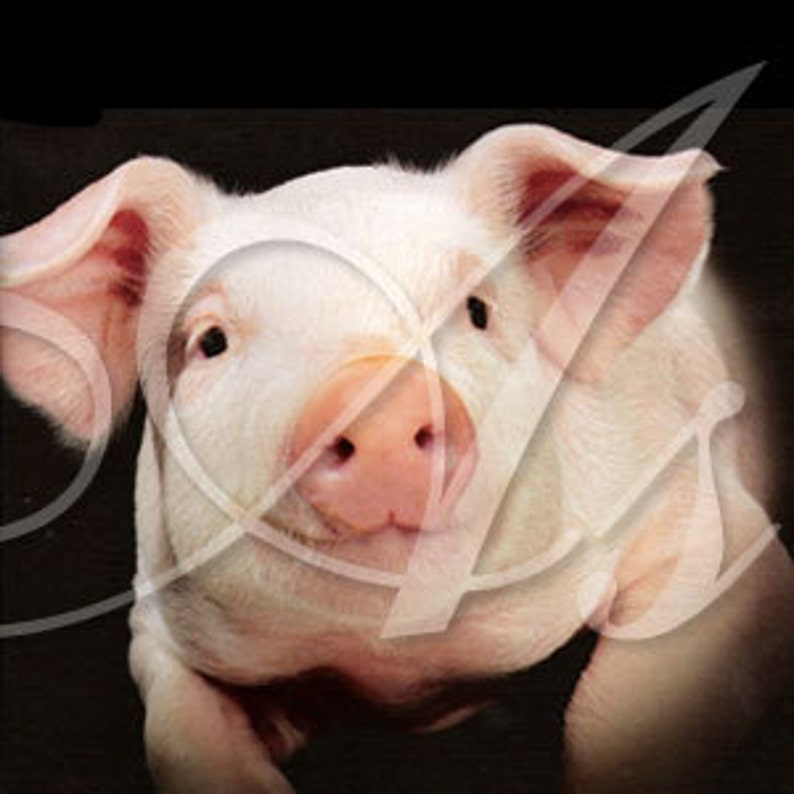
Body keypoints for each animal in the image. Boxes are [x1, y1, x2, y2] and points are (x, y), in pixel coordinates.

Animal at [2, 123, 792, 793]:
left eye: (478, 310)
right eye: (210, 341)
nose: (378, 396)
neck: (405, 672)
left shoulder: (707, 518)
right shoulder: (157, 617)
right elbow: (183, 741)